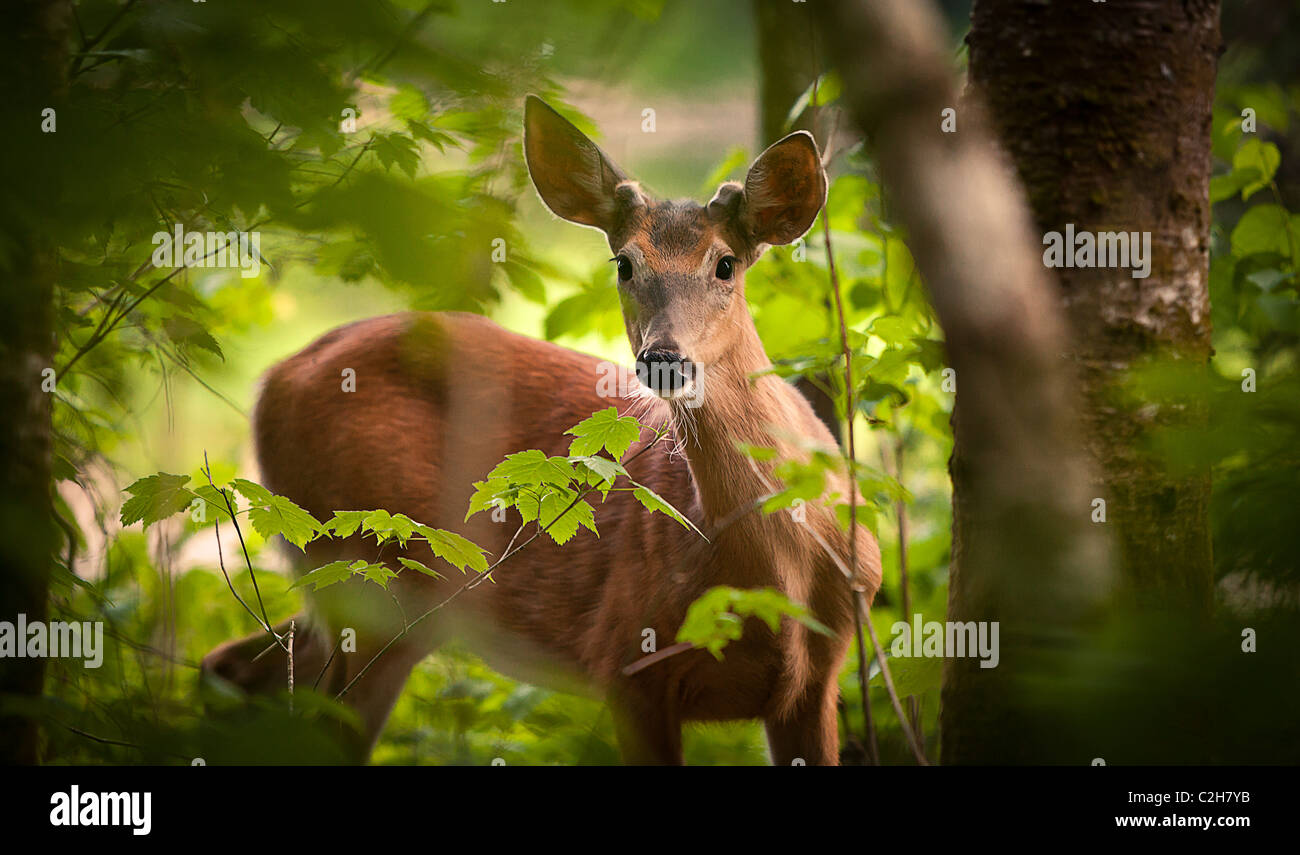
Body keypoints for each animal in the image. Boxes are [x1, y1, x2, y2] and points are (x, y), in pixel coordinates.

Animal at [201, 95, 882, 765]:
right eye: (624, 263)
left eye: (726, 264)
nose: (663, 358)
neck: (773, 570)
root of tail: (275, 378)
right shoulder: (626, 657)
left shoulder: (820, 677)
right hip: (365, 571)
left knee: (240, 667)